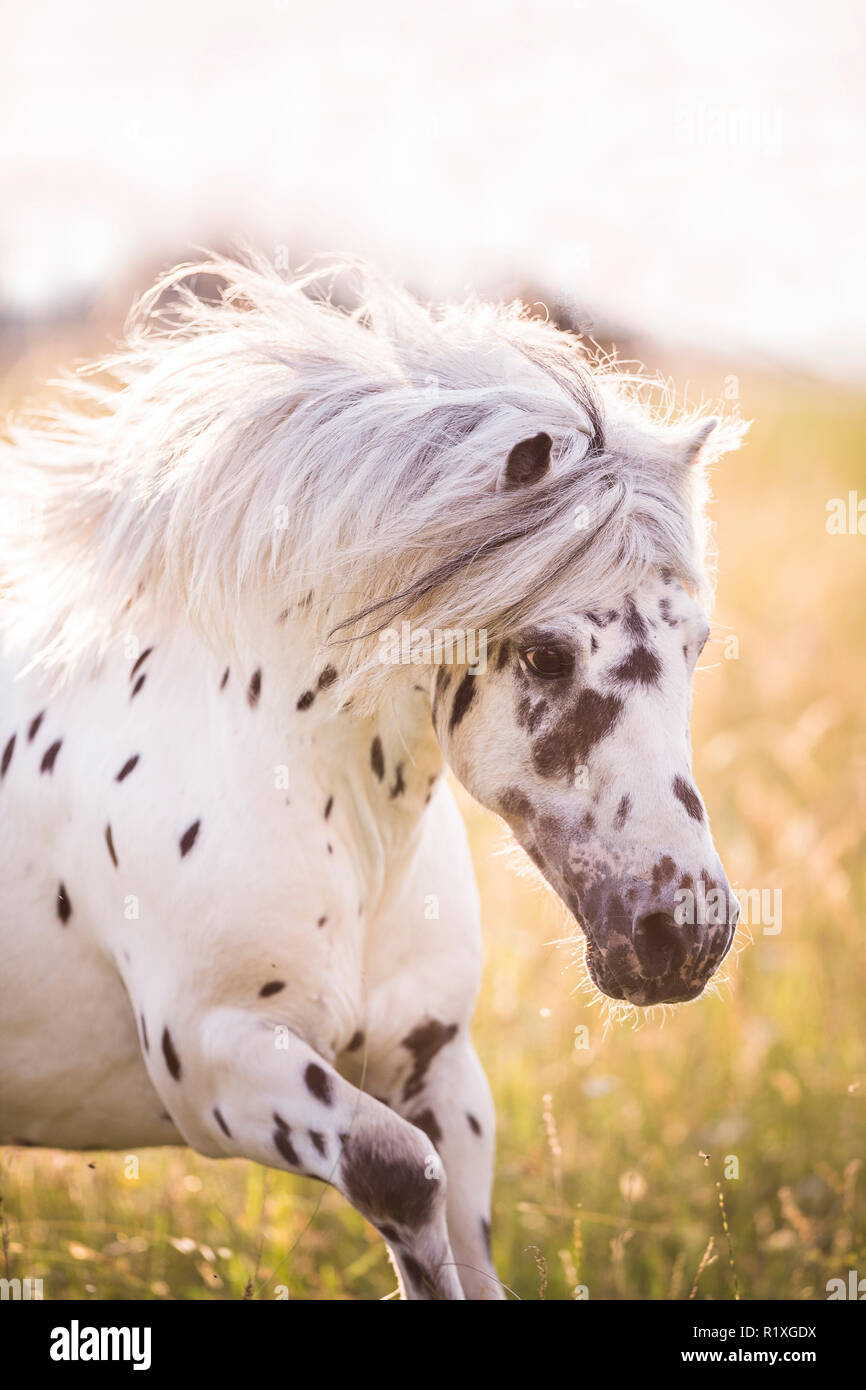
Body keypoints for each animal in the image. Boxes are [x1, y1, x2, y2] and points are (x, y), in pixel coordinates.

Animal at [0, 254, 746, 1299]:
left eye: (697, 646)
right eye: (547, 654)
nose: (686, 935)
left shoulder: (437, 1063)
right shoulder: (221, 1064)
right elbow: (403, 1175)